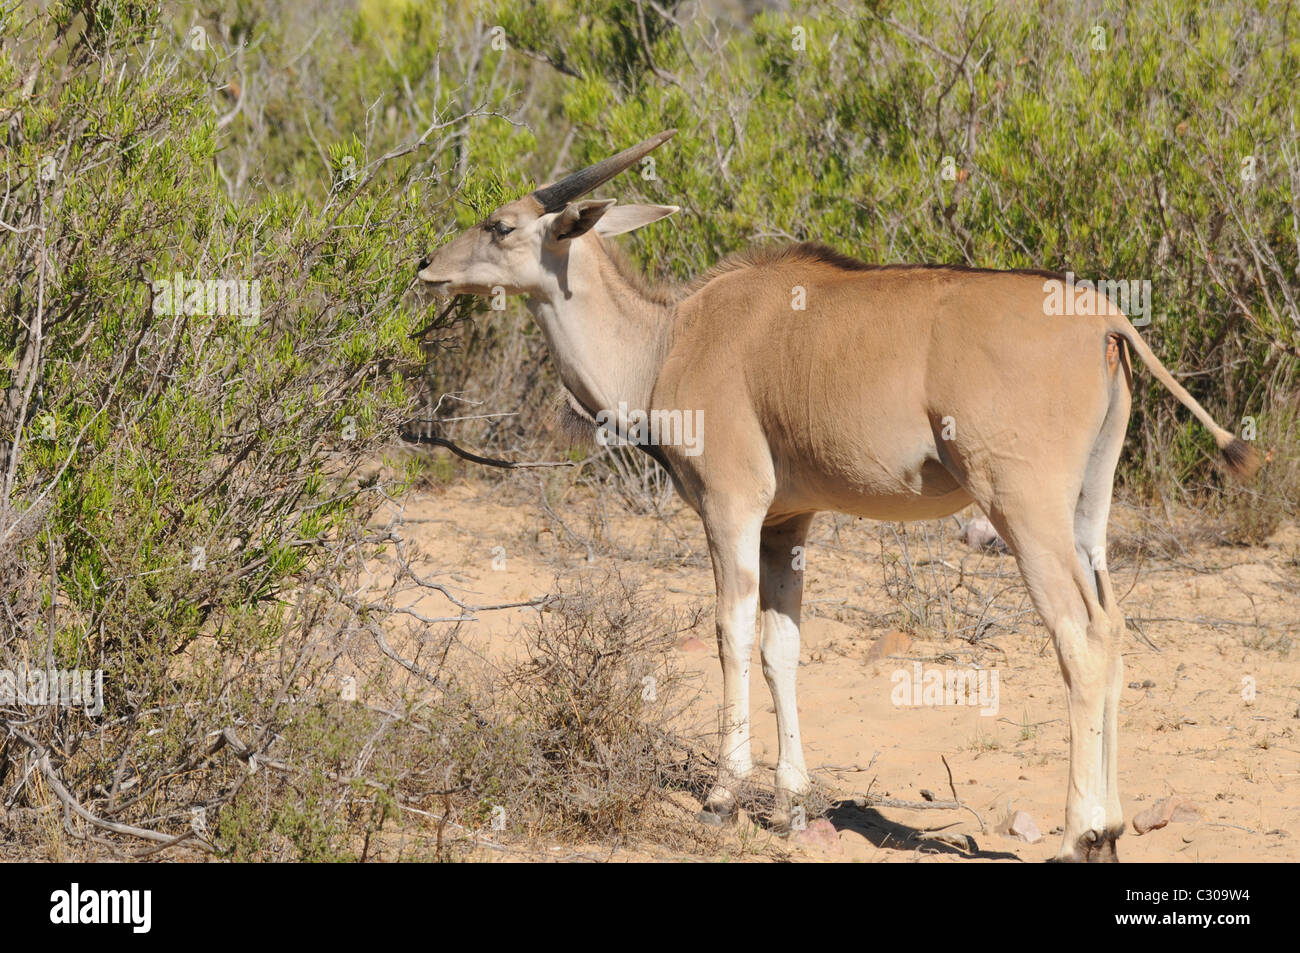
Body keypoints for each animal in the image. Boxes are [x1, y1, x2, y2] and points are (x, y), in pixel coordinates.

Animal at [416, 130, 1258, 861]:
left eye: (499, 225)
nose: (428, 265)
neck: (669, 338)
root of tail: (1105, 320)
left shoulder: (732, 508)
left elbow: (733, 635)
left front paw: (723, 794)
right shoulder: (788, 522)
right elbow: (783, 646)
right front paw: (791, 803)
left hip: (1024, 511)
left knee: (1079, 637)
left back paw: (1078, 833)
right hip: (1088, 513)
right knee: (1112, 630)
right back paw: (1110, 829)